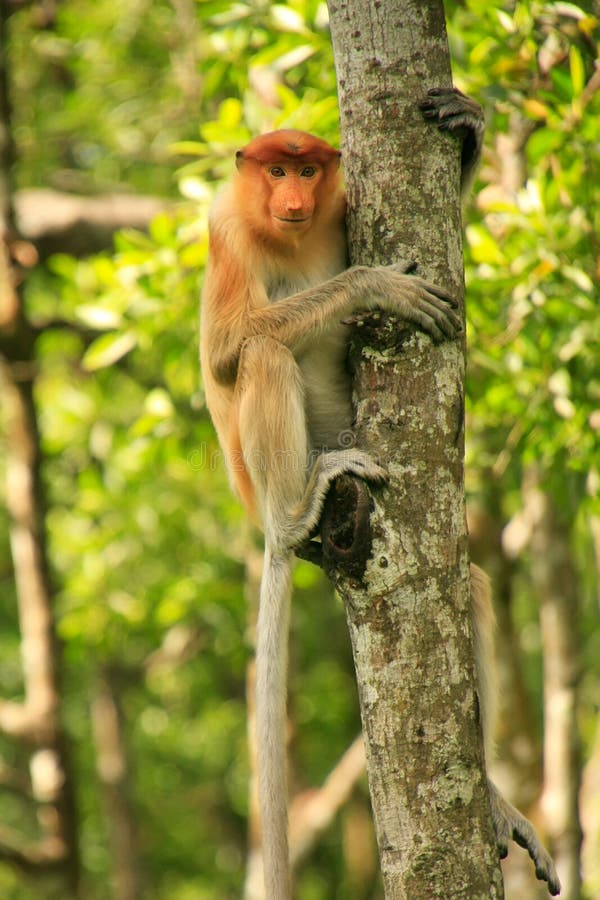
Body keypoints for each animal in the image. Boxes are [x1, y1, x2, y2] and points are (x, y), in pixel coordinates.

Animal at [200, 88, 560, 898]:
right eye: (275, 171)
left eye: (308, 170)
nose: (295, 200)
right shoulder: (226, 233)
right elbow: (226, 353)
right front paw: (375, 285)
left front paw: (465, 128)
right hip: (261, 478)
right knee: (262, 349)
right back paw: (297, 511)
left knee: (474, 585)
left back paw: (494, 805)